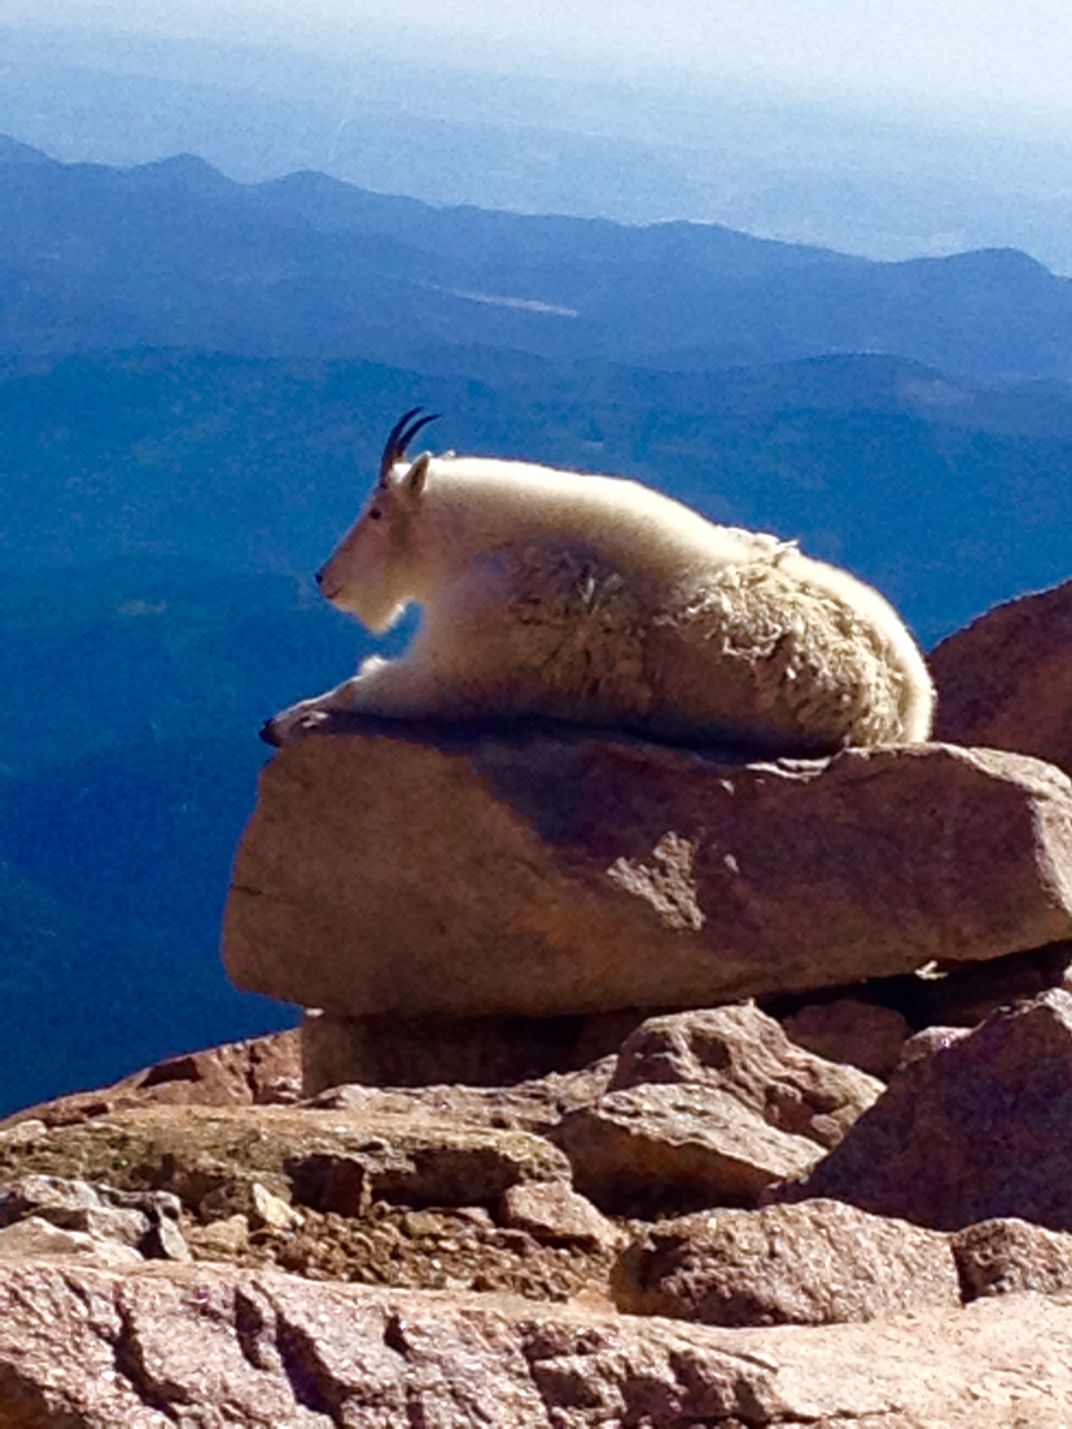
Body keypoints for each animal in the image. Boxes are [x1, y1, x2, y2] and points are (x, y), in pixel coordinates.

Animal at [263, 408, 935, 754]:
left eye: (377, 513)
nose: (325, 578)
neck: (478, 546)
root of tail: (914, 709)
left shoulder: (461, 672)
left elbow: (360, 688)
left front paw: (284, 721)